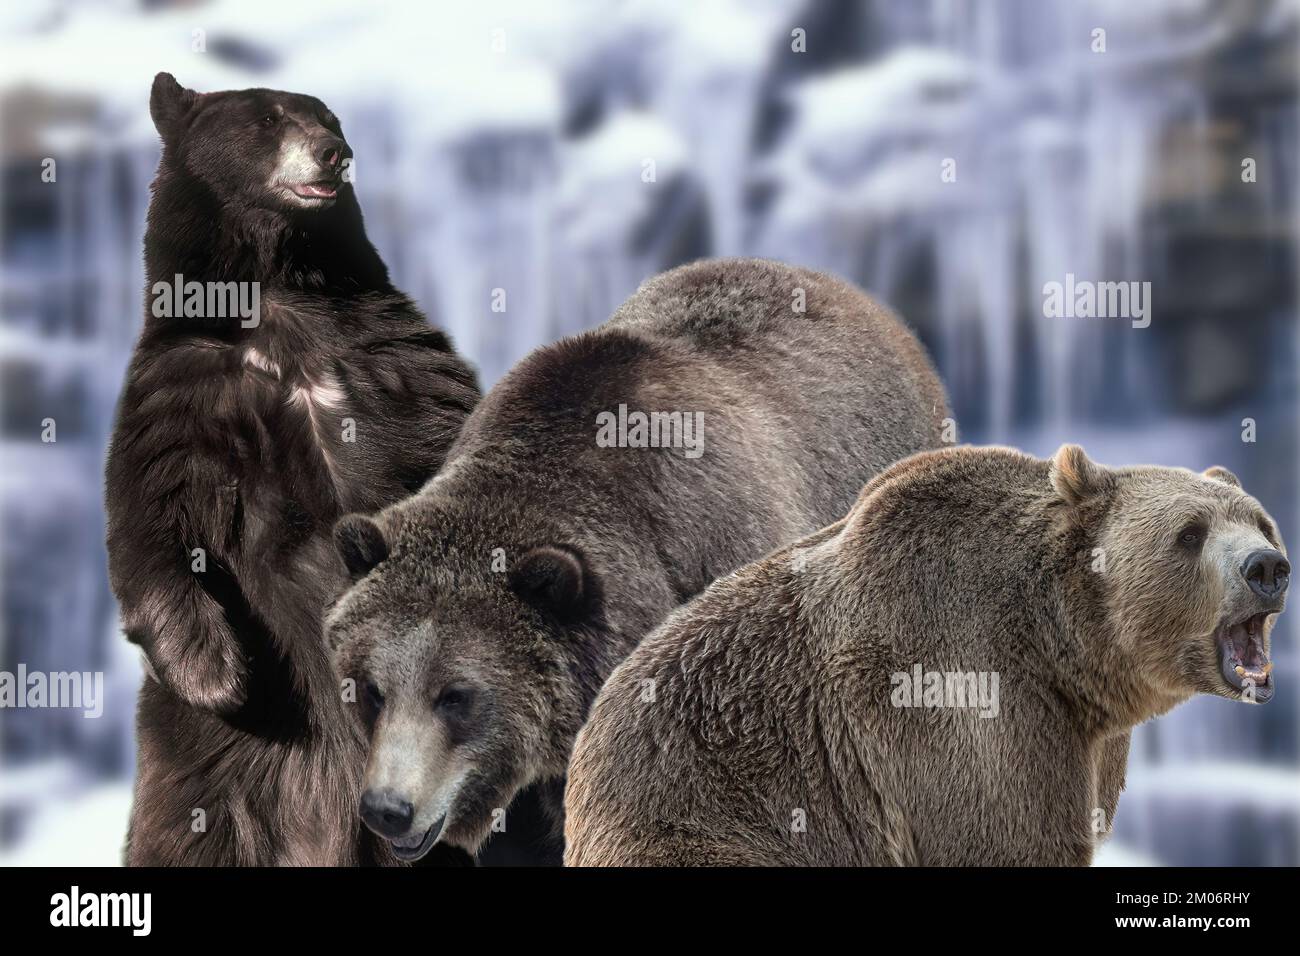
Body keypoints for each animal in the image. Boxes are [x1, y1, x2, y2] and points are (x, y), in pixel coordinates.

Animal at [104, 74, 480, 866]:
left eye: (329, 116)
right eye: (268, 119)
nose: (336, 152)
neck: (276, 291)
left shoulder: (394, 363)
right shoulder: (178, 393)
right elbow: (149, 528)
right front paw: (220, 674)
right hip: (204, 783)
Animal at [563, 444, 1288, 866]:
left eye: (1260, 521)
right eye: (1189, 532)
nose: (1266, 568)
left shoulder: (1086, 738)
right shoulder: (962, 696)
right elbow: (1000, 837)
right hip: (695, 811)